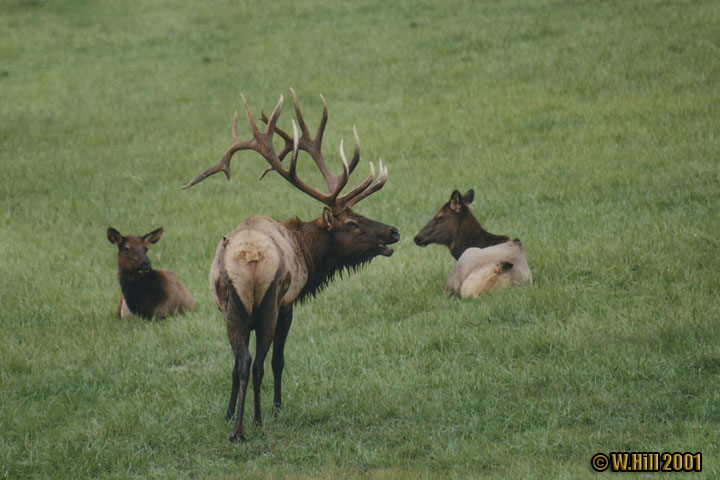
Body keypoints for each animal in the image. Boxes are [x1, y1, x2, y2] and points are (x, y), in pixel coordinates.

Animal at [183, 88, 400, 442]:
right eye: (352, 223)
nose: (393, 231)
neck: (305, 251)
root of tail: (251, 259)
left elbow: (231, 365)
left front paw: (227, 414)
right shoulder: (288, 303)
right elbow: (278, 361)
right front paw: (277, 409)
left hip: (231, 305)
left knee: (240, 361)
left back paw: (236, 426)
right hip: (269, 303)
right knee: (256, 362)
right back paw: (254, 422)